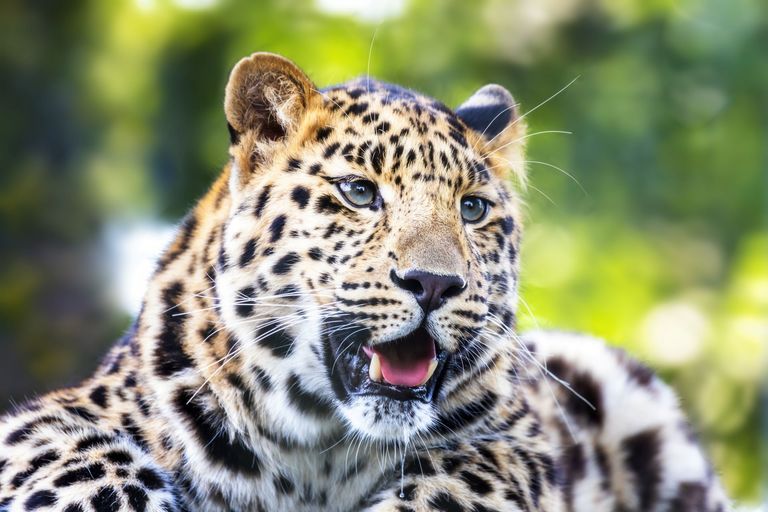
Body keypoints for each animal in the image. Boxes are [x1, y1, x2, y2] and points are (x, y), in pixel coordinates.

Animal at [0, 52, 732, 512]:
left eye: (472, 208)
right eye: (359, 192)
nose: (434, 284)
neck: (318, 451)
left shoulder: (516, 448)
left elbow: (459, 486)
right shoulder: (50, 420)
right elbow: (84, 455)